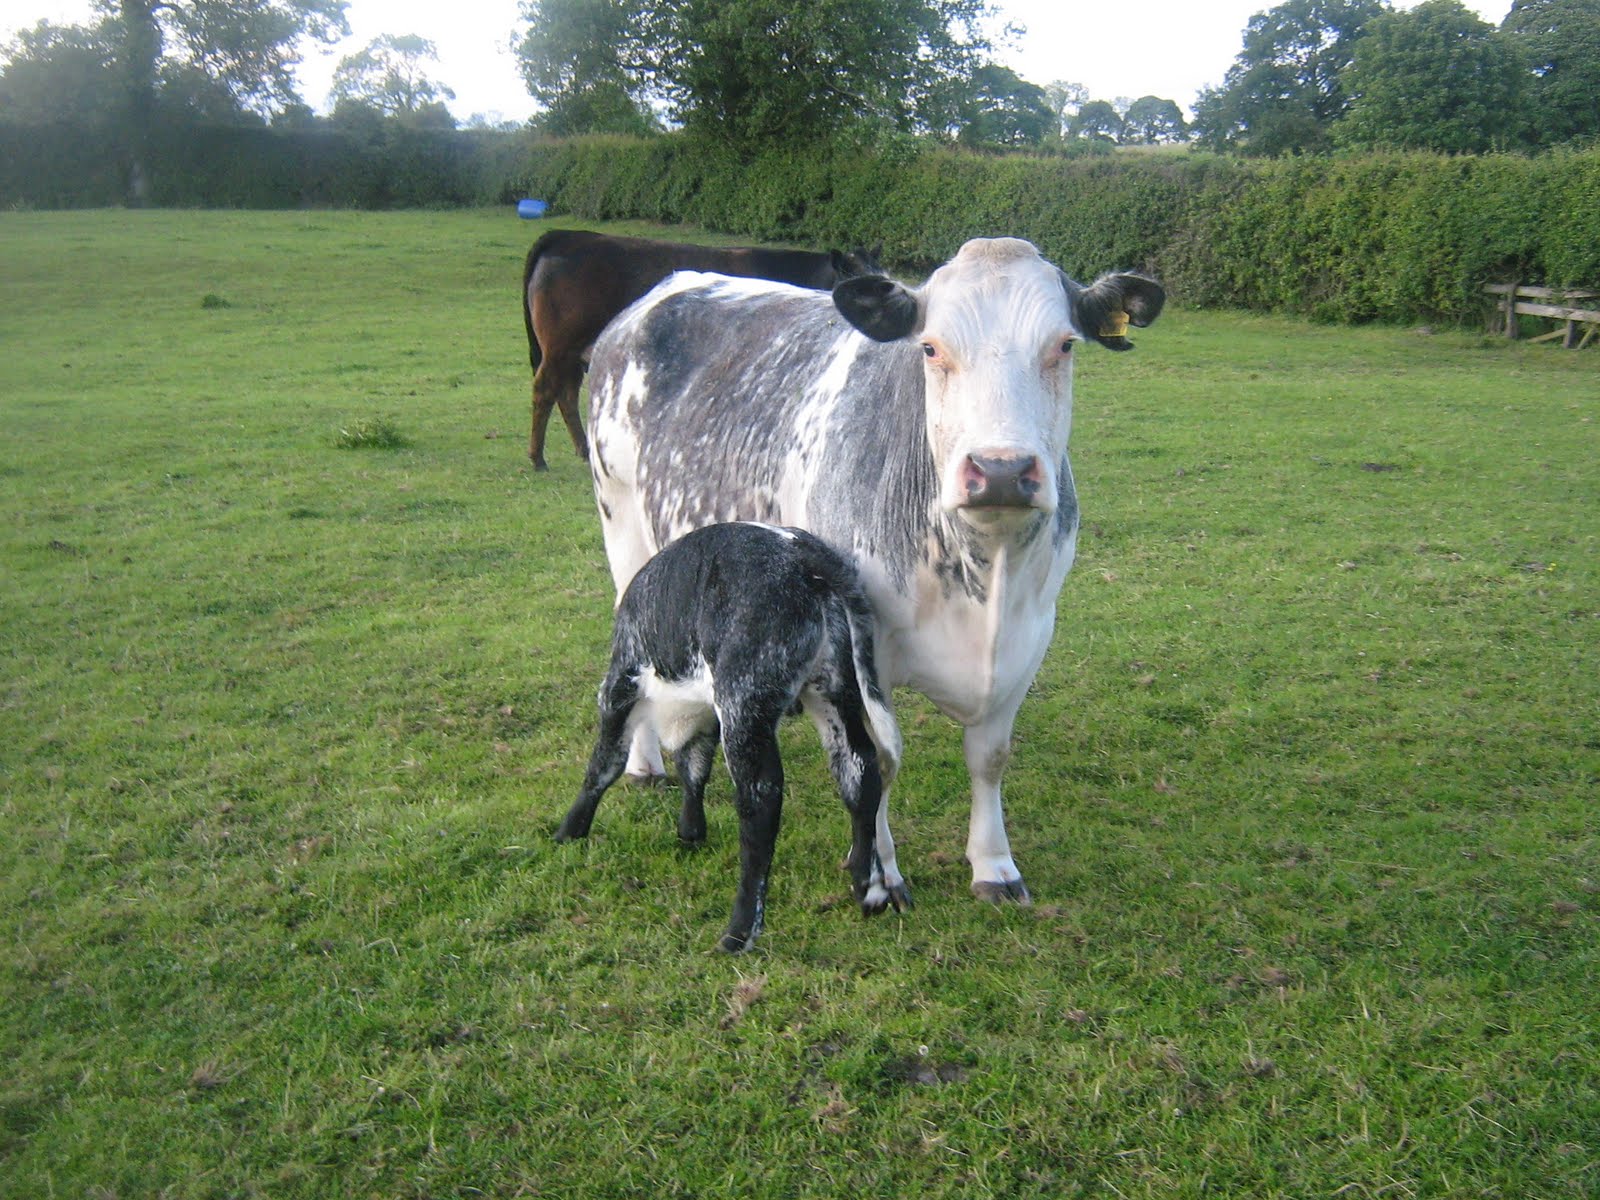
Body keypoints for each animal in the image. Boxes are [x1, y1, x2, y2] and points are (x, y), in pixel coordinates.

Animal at [521, 229, 881, 470]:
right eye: (856, 283)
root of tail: (569, 236)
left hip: (572, 352)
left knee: (565, 394)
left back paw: (583, 451)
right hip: (559, 346)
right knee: (545, 389)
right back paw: (537, 458)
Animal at [555, 521, 905, 952]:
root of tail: (802, 553)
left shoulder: (621, 682)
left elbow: (604, 763)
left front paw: (569, 831)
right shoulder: (704, 717)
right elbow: (694, 767)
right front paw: (690, 830)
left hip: (743, 704)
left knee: (760, 801)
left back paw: (738, 932)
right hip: (836, 694)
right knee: (859, 774)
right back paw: (869, 889)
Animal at [585, 237, 1164, 905]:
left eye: (1065, 344)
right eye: (931, 347)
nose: (1000, 470)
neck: (983, 581)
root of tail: (667, 288)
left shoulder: (1033, 631)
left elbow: (990, 755)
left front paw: (994, 866)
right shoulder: (861, 646)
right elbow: (880, 759)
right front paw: (882, 872)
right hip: (623, 527)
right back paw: (643, 763)